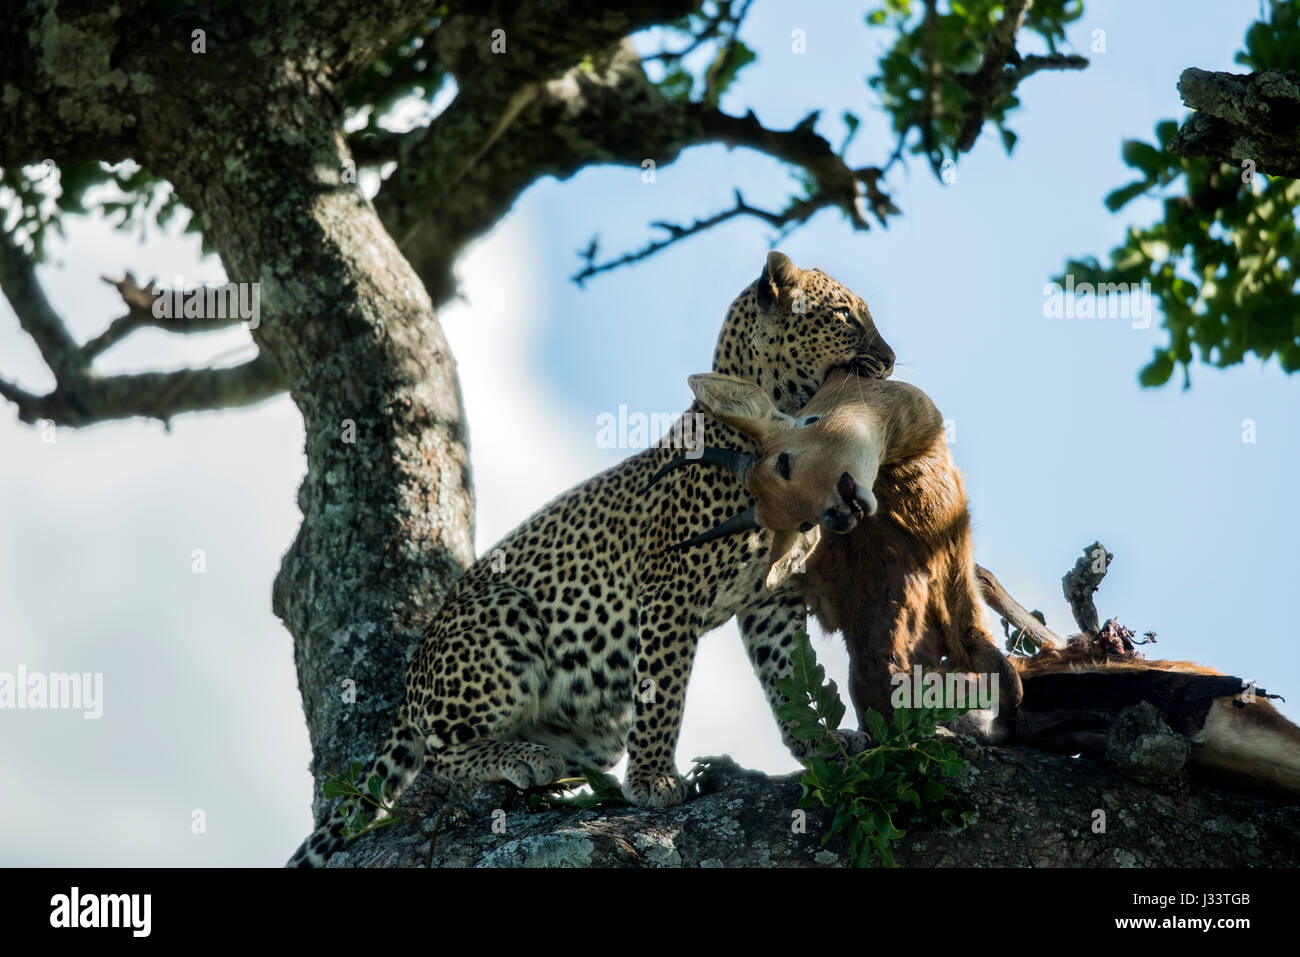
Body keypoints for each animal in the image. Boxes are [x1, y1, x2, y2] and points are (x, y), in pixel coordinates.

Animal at [287, 251, 895, 865]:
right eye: (845, 315)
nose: (890, 360)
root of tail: (410, 684)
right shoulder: (670, 588)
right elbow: (663, 691)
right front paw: (653, 781)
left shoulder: (773, 598)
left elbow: (787, 673)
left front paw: (817, 745)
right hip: (504, 616)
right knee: (439, 752)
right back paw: (519, 757)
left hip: (596, 724)